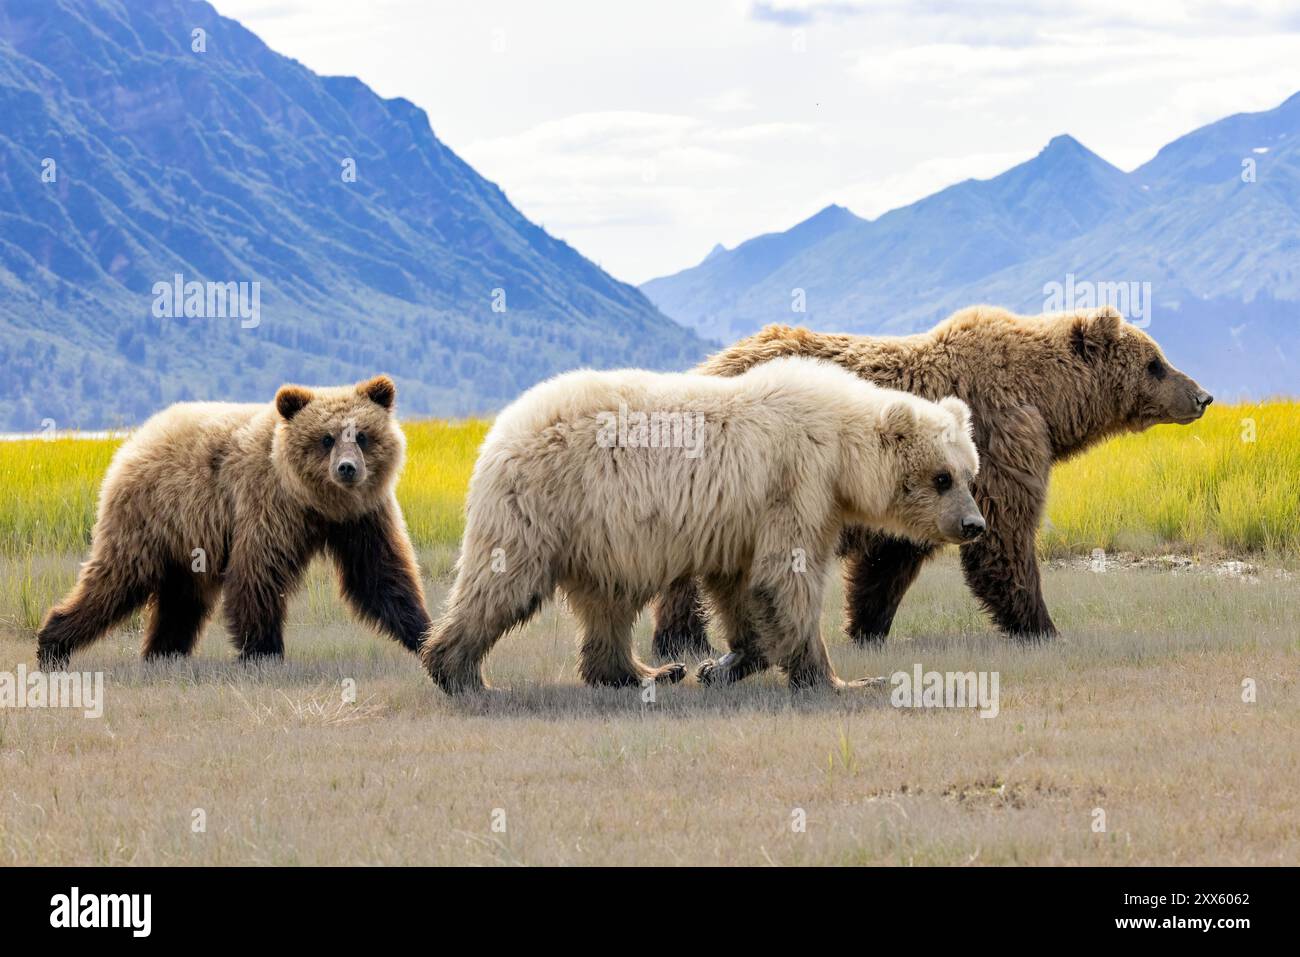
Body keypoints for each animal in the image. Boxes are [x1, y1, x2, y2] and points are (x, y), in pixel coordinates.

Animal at [36, 375, 431, 669]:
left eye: (362, 435)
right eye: (326, 438)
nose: (347, 468)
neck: (317, 503)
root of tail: (135, 438)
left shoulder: (362, 518)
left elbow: (380, 575)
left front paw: (423, 634)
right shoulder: (266, 506)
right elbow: (258, 573)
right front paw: (263, 652)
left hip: (190, 540)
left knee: (181, 599)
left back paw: (163, 653)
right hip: (149, 518)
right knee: (116, 580)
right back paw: (53, 645)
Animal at [420, 355, 984, 695]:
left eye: (969, 473)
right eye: (941, 477)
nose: (974, 524)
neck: (841, 448)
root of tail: (499, 429)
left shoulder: (747, 519)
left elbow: (741, 586)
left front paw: (722, 664)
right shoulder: (796, 485)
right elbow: (787, 579)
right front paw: (839, 679)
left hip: (598, 535)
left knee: (607, 603)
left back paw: (646, 671)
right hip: (545, 506)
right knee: (504, 583)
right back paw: (461, 673)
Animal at [651, 305, 1213, 661]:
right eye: (1156, 363)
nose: (1202, 395)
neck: (1047, 400)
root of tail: (706, 367)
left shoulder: (925, 491)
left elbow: (890, 560)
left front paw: (867, 627)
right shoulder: (997, 441)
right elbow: (1004, 538)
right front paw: (1043, 627)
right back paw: (683, 640)